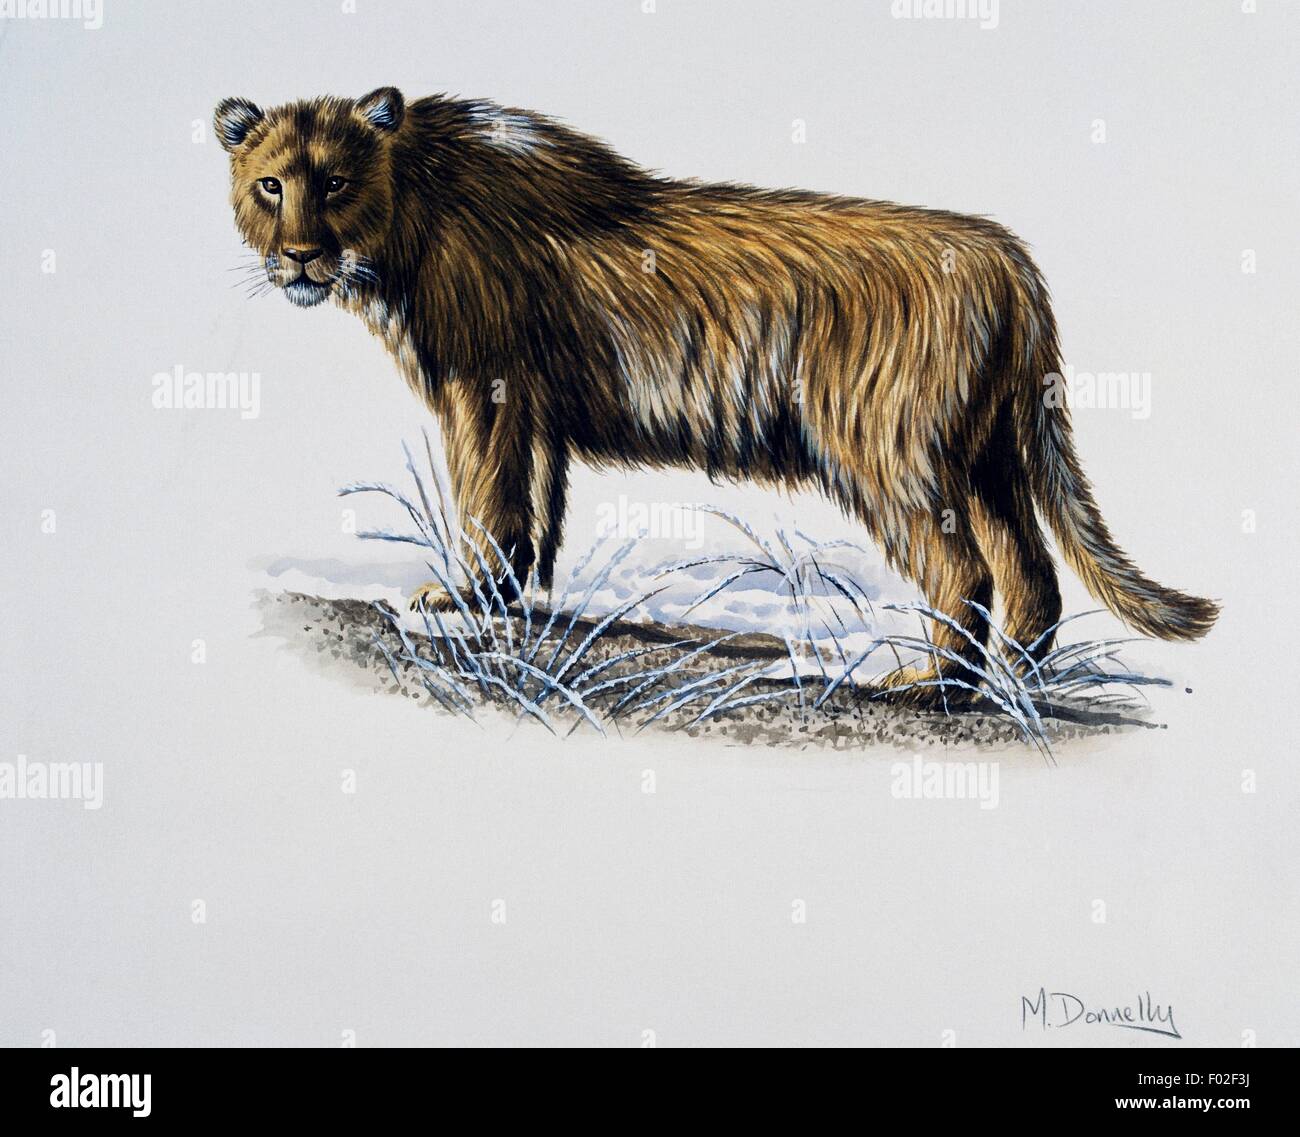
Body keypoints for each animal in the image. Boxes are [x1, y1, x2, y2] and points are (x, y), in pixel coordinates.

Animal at [216, 87, 1217, 699]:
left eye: (333, 182)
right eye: (270, 184)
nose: (299, 256)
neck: (409, 208)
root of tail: (1006, 257)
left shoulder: (485, 388)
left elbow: (488, 499)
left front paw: (463, 597)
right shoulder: (530, 405)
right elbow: (535, 506)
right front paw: (516, 600)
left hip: (889, 454)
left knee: (966, 569)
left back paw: (932, 687)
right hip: (988, 454)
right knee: (1033, 571)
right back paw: (1012, 680)